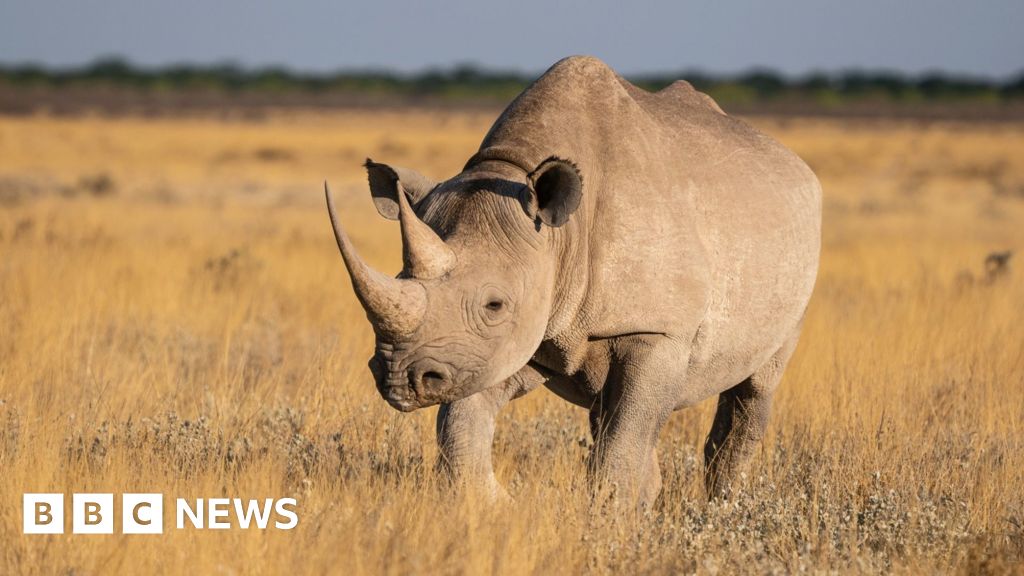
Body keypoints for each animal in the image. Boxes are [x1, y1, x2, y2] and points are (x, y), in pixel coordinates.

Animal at [325, 56, 821, 506]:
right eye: (399, 275)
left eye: (494, 305)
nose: (398, 379)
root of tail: (797, 164)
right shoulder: (507, 335)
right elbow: (462, 419)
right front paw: (492, 505)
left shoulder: (656, 329)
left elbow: (626, 436)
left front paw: (609, 520)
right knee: (612, 415)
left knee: (753, 388)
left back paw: (724, 506)